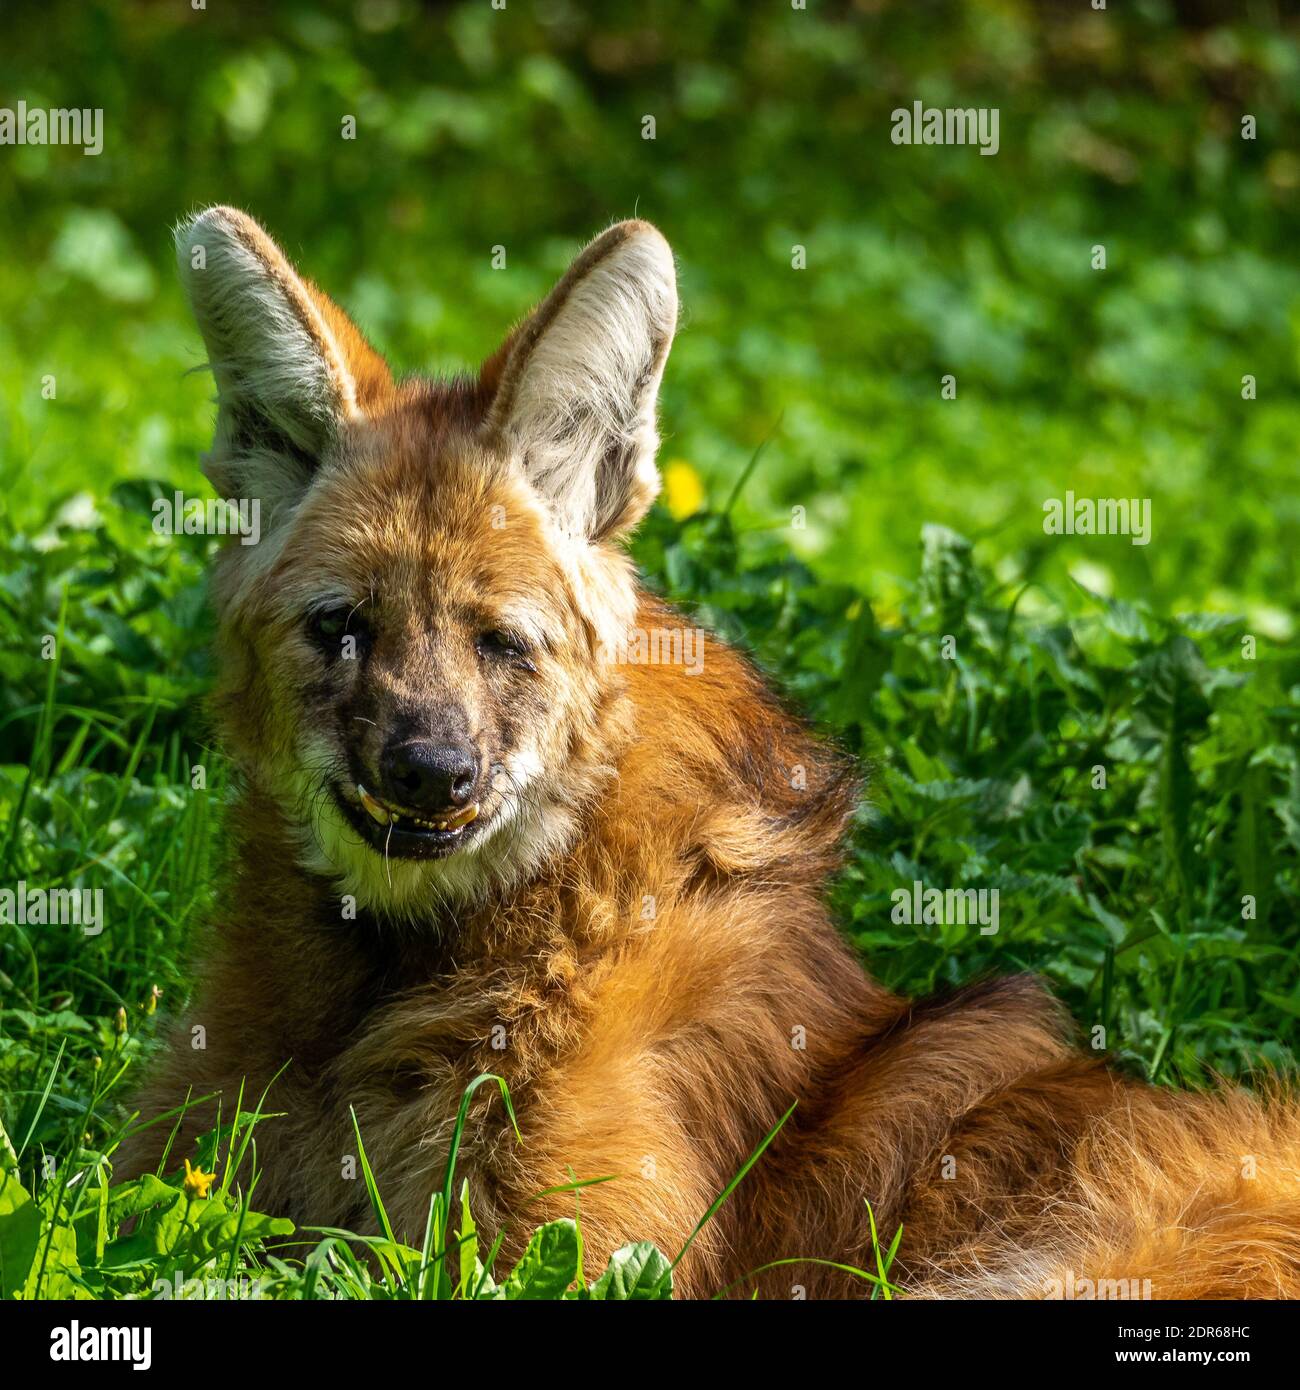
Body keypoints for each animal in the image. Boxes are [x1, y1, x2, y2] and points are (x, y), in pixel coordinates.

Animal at [123, 207, 1300, 1298]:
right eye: (342, 627)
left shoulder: (578, 1250)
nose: (429, 774)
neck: (388, 977)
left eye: (501, 641)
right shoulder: (178, 1166)